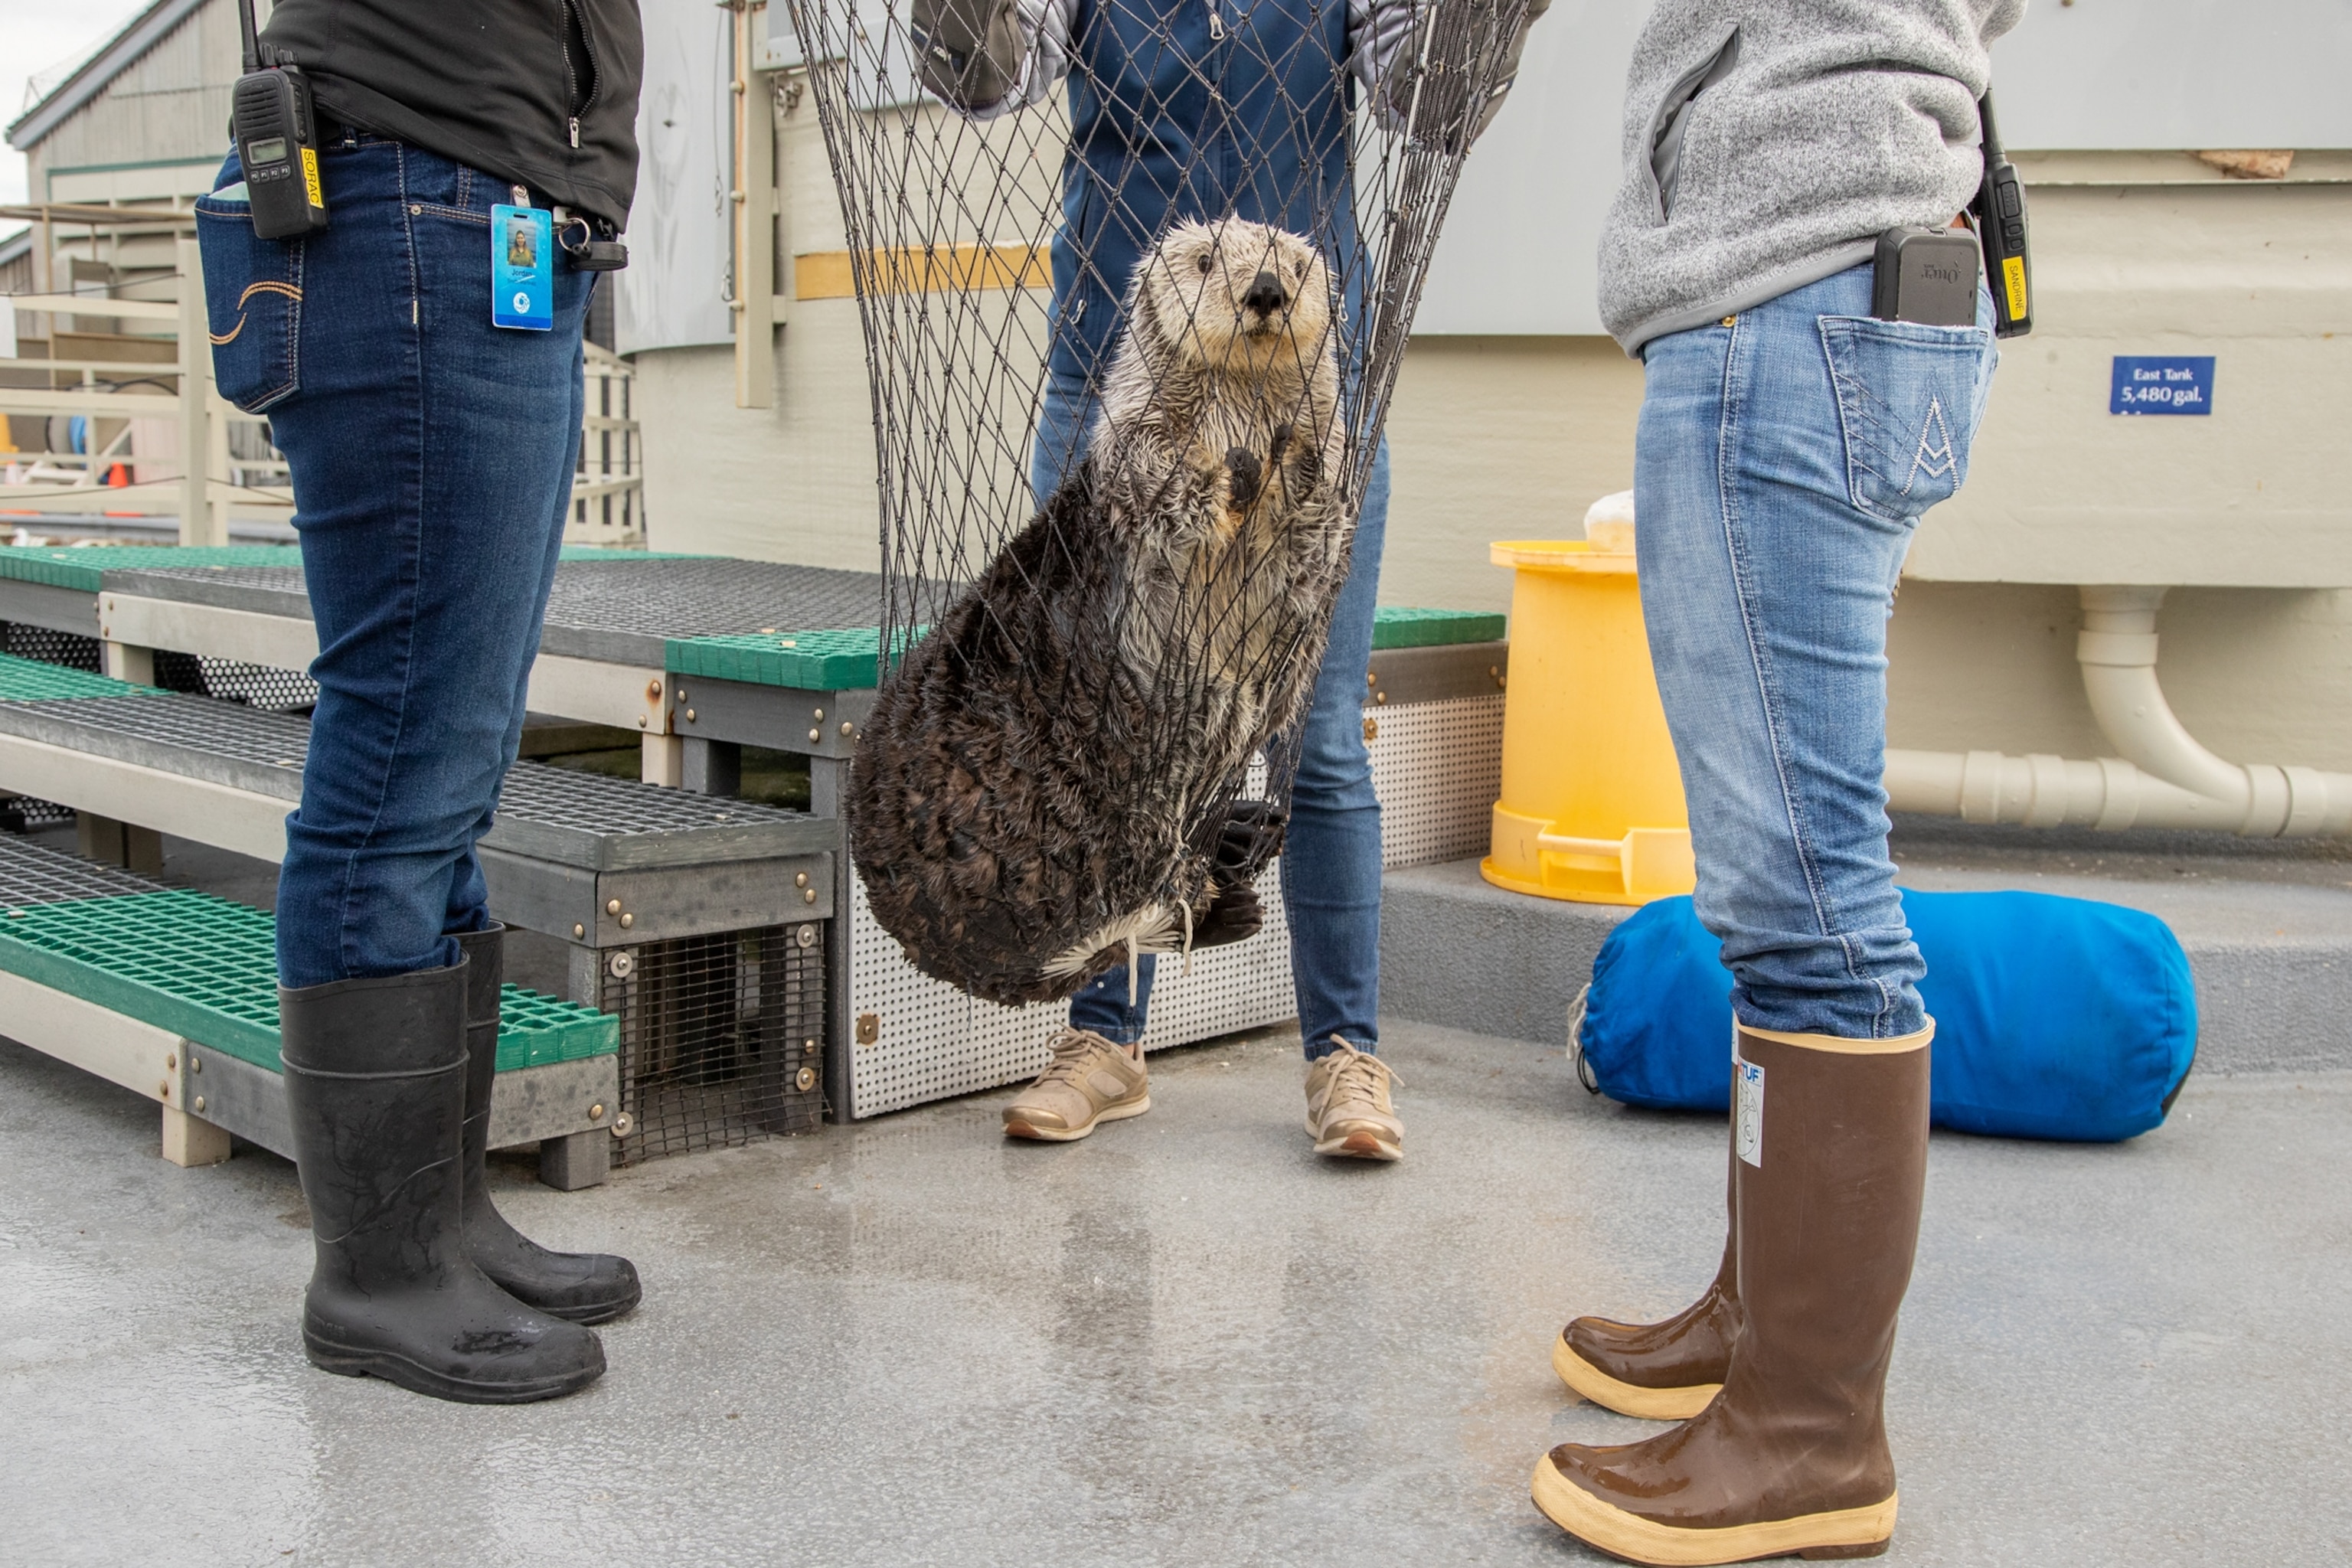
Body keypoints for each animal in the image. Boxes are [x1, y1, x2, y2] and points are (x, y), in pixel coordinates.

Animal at [849, 219, 1351, 1007]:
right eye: (1204, 259)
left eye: (1297, 265)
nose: (1267, 290)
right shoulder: (1135, 456)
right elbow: (1162, 478)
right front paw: (1234, 475)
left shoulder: (1313, 521)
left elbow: (1318, 524)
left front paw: (1293, 462)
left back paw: (1242, 852)